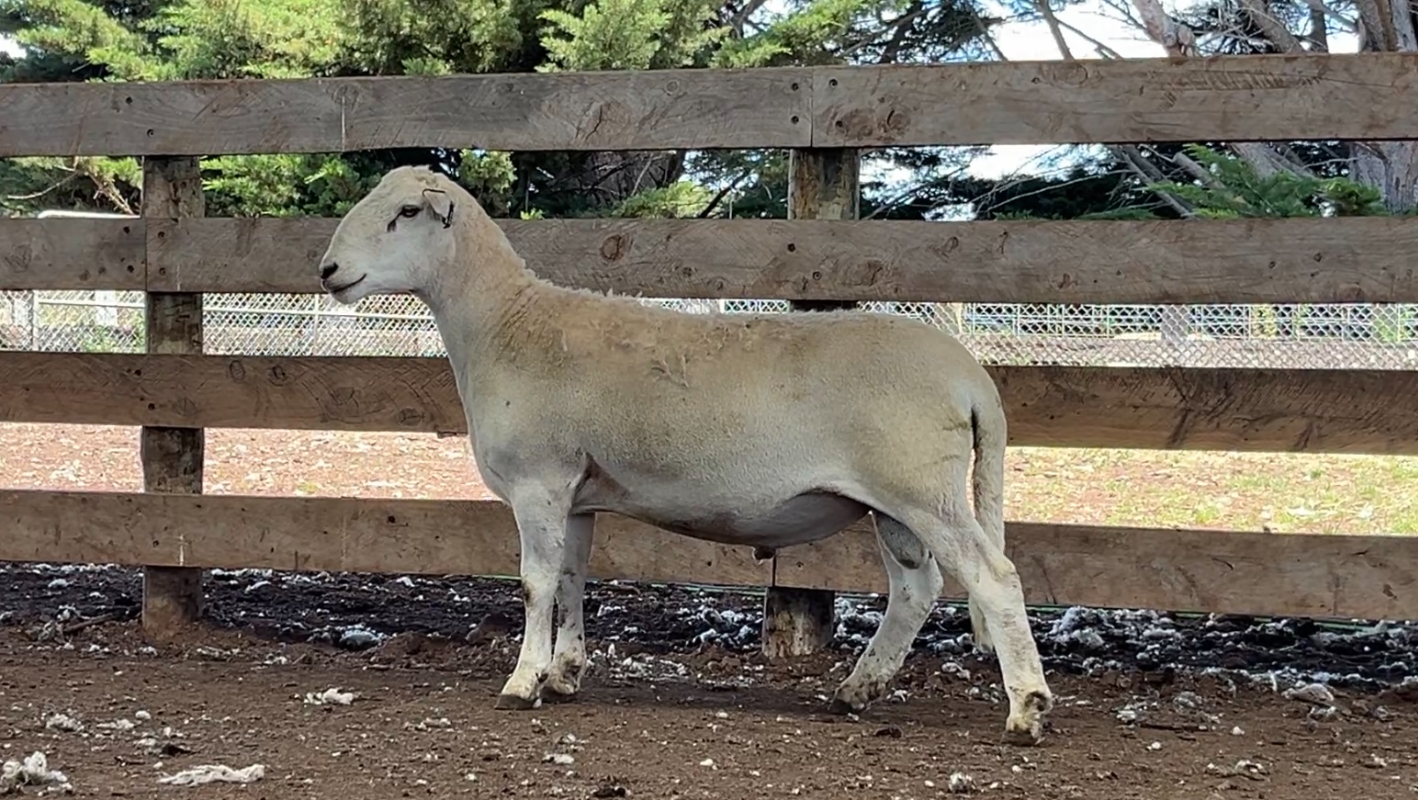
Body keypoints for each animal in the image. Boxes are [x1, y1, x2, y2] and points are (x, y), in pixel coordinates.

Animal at [316, 165, 1054, 745]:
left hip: (921, 488)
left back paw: (1026, 710)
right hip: (894, 501)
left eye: (408, 212)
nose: (328, 271)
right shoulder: (575, 493)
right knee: (915, 588)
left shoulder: (538, 482)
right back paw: (856, 691)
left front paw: (522, 682)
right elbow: (572, 580)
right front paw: (564, 674)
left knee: (994, 578)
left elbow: (535, 583)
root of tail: (972, 377)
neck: (507, 325)